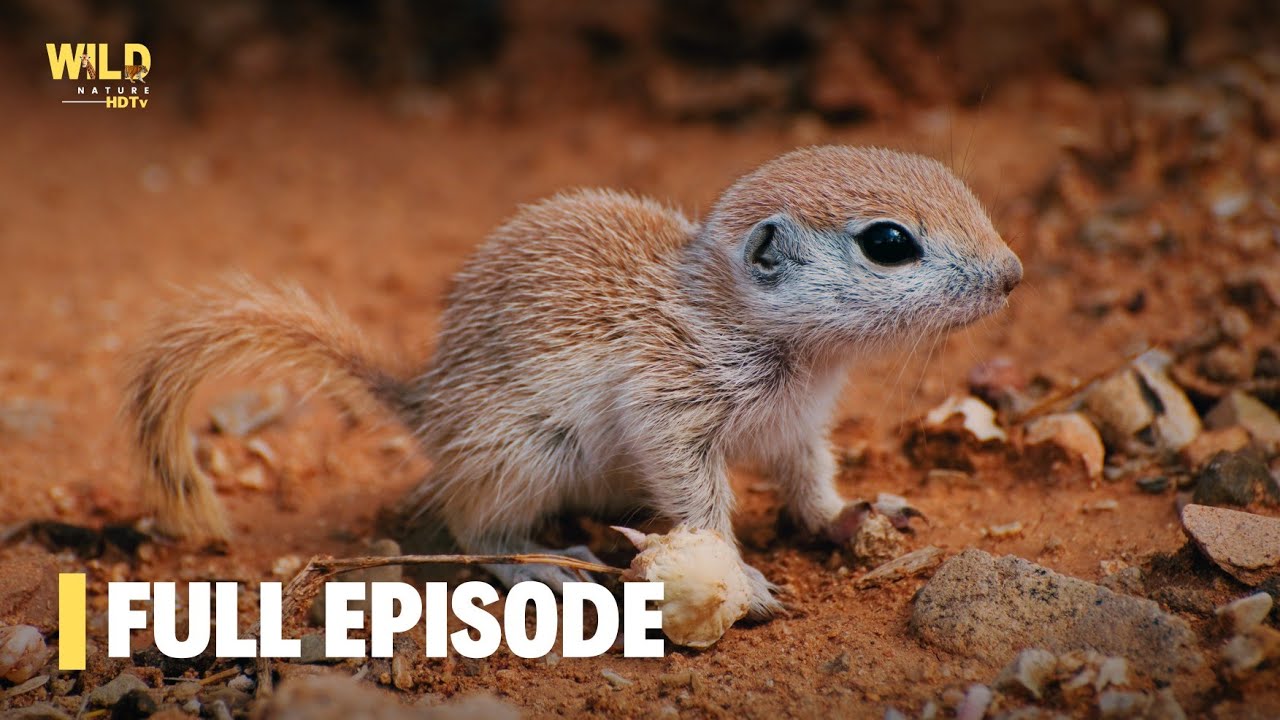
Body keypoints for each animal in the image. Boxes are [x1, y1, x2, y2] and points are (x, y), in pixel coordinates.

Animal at [125, 146, 1022, 619]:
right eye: (889, 243)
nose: (1013, 276)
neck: (731, 313)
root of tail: (425, 403)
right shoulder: (672, 413)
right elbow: (700, 505)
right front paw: (741, 580)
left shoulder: (798, 429)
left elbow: (809, 488)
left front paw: (854, 515)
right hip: (526, 455)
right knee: (474, 532)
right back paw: (545, 566)